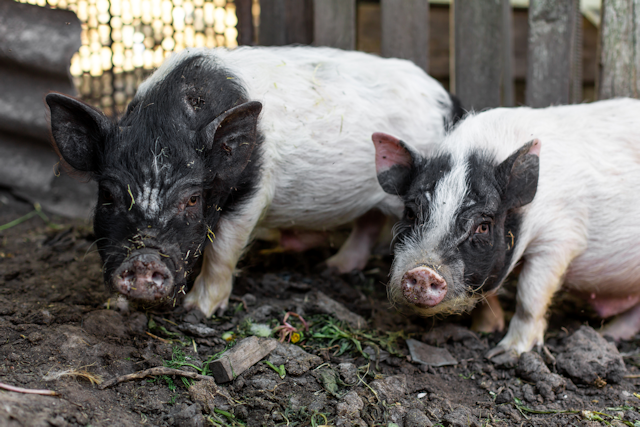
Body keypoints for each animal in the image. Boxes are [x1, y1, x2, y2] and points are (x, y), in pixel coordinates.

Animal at [46, 46, 462, 317]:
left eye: (192, 200)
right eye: (107, 195)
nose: (143, 260)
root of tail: (449, 99)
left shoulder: (251, 191)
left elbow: (222, 249)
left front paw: (198, 311)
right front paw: (116, 306)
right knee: (368, 221)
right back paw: (334, 268)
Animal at [373, 98, 640, 357]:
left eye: (483, 226)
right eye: (411, 213)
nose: (423, 272)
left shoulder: (560, 240)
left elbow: (529, 297)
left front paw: (504, 353)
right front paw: (484, 329)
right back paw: (611, 334)